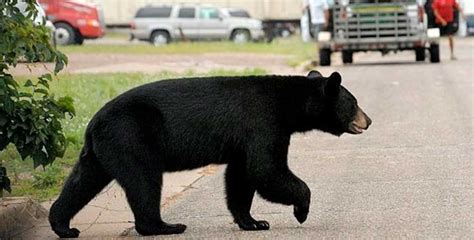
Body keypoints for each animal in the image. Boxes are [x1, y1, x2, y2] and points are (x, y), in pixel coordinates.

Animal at [50, 70, 372, 237]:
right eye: (354, 102)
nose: (368, 120)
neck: (288, 103)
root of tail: (91, 122)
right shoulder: (263, 123)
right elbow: (266, 168)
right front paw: (301, 211)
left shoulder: (243, 140)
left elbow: (242, 176)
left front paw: (254, 222)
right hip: (132, 135)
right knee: (144, 180)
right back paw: (164, 226)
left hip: (102, 150)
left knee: (82, 181)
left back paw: (63, 225)